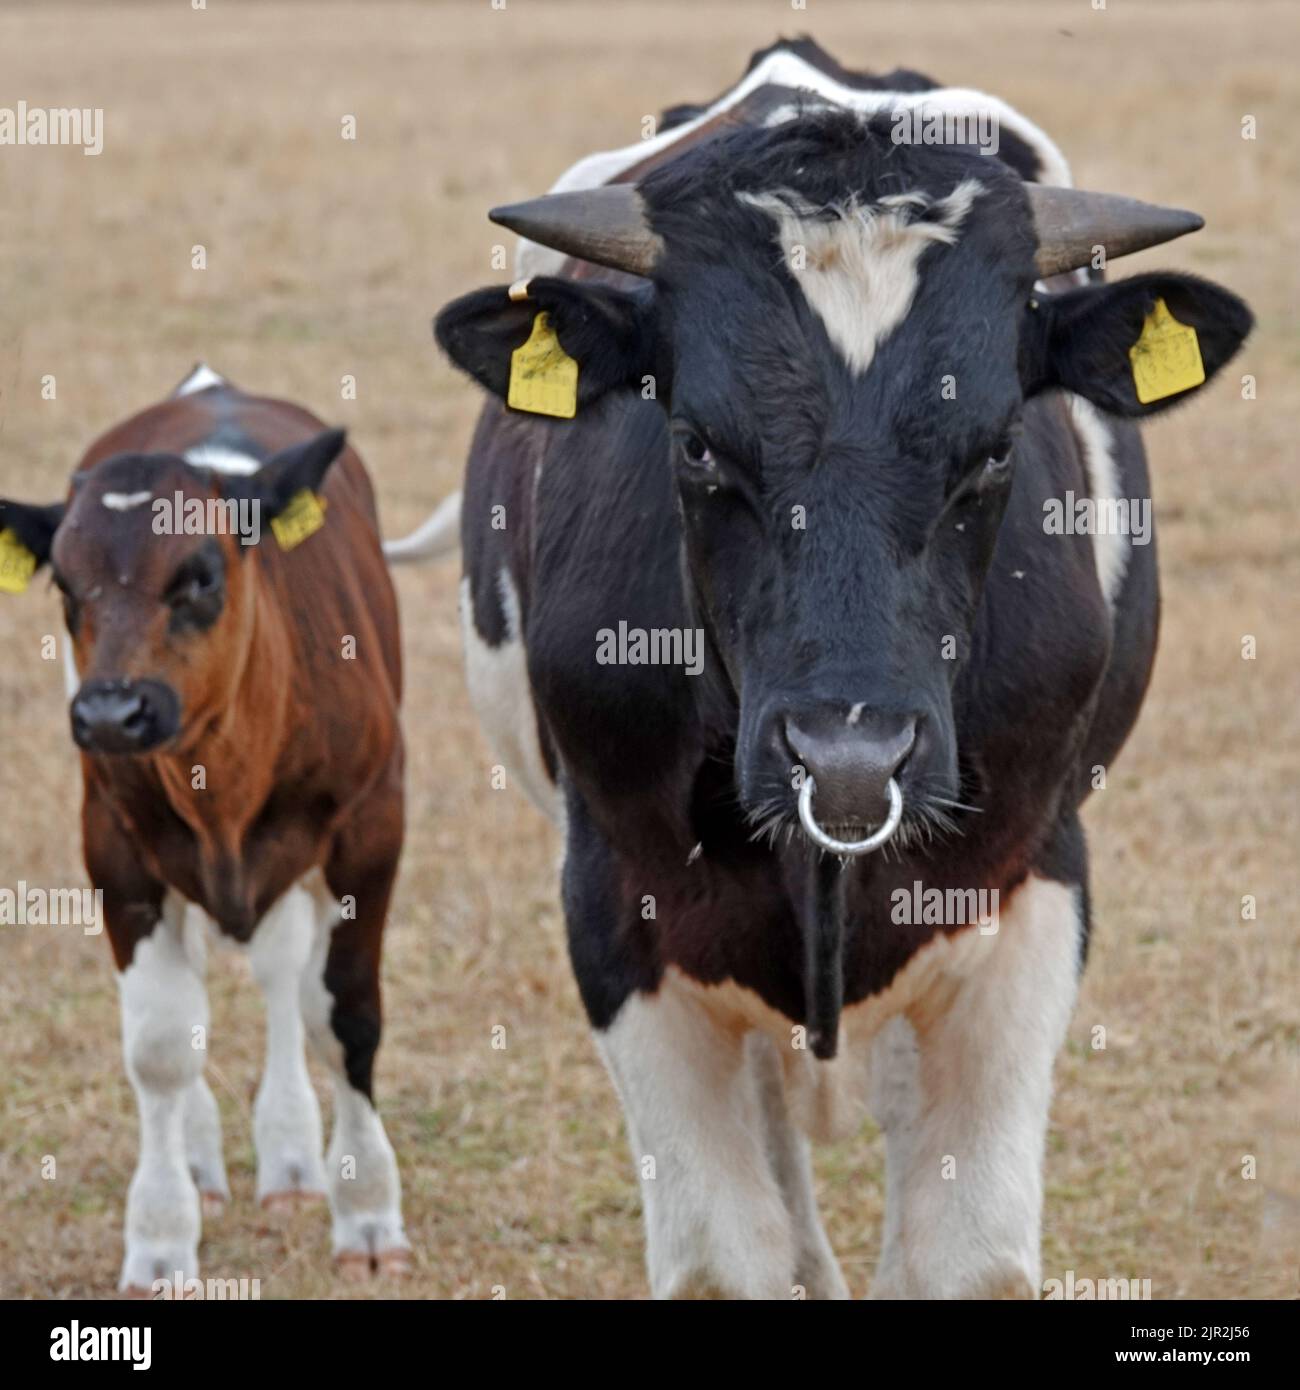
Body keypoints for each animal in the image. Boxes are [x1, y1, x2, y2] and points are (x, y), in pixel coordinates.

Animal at [0, 366, 409, 1292]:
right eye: (65, 587)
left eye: (199, 574)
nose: (110, 714)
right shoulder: (114, 849)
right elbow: (159, 1045)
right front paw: (159, 1238)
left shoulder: (373, 825)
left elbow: (347, 1017)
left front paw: (368, 1212)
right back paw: (205, 1164)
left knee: (284, 975)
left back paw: (292, 1161)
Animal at [429, 39, 1252, 1298]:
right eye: (694, 442)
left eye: (995, 448)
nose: (851, 759)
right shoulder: (616, 907)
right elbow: (723, 1255)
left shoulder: (1030, 892)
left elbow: (966, 1254)